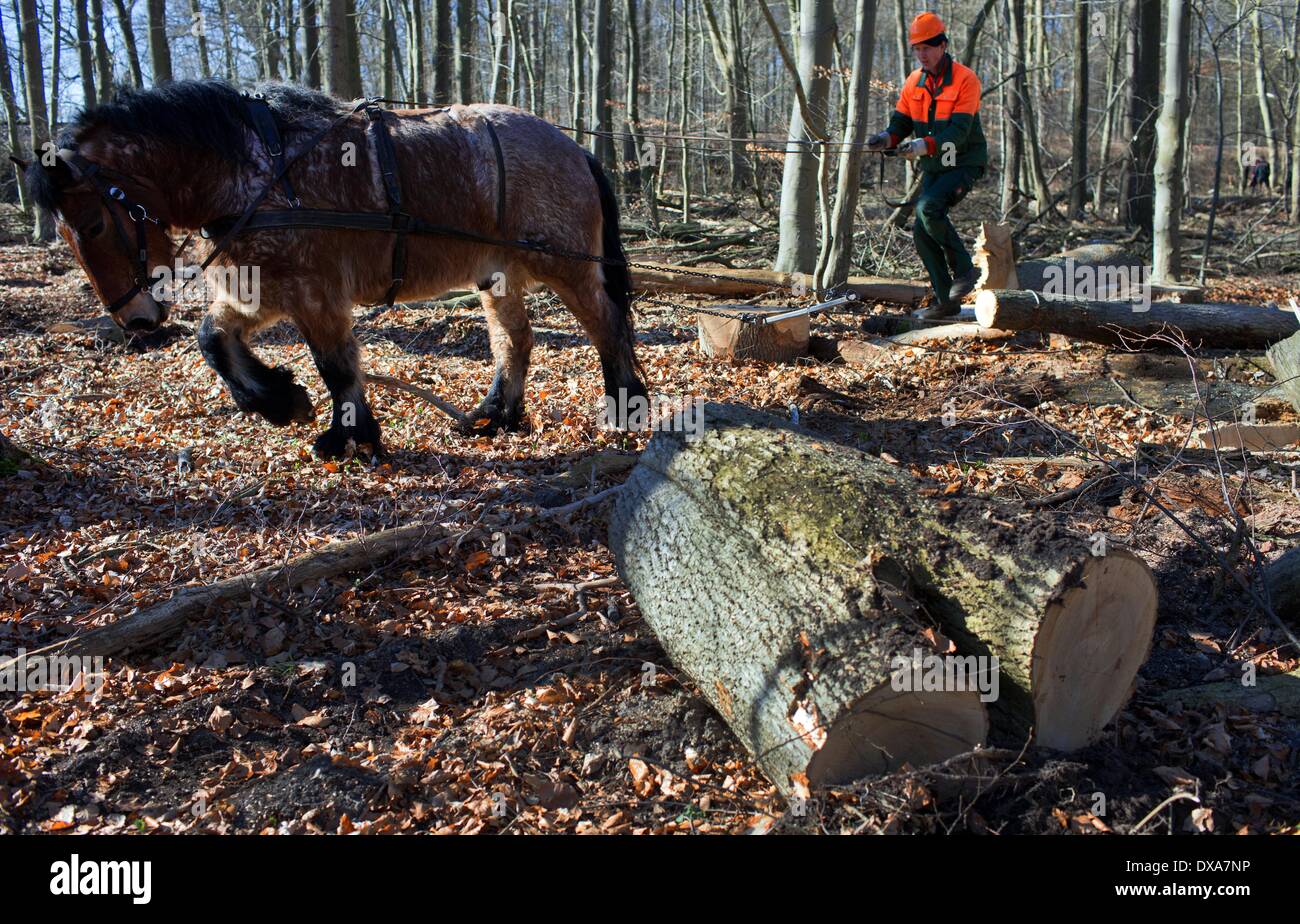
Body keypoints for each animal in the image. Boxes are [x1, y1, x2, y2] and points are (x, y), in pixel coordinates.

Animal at [20, 80, 649, 459]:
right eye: (65, 235)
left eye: (93, 225)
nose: (136, 319)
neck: (257, 170)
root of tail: (575, 149)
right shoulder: (260, 289)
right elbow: (213, 339)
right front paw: (278, 400)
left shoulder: (313, 292)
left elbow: (336, 365)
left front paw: (350, 436)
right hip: (496, 275)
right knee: (514, 339)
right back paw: (496, 416)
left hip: (565, 265)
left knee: (607, 326)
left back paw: (625, 408)